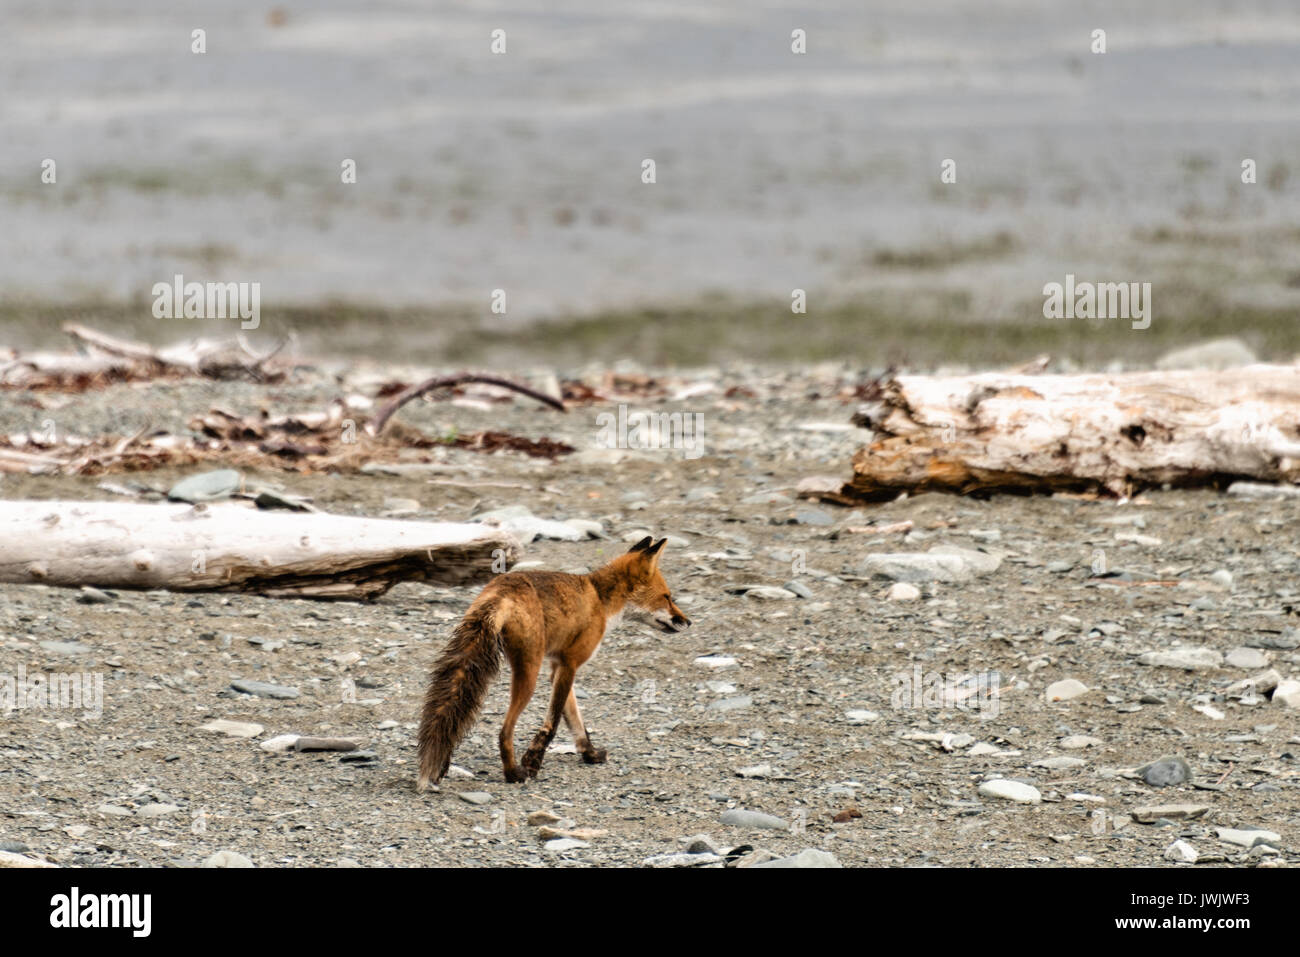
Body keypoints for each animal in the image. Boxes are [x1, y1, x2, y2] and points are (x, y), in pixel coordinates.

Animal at [416, 536, 691, 790]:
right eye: (667, 597)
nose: (688, 622)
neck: (600, 600)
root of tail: (500, 592)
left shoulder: (557, 666)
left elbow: (576, 721)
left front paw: (589, 753)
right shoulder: (571, 663)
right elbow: (555, 721)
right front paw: (533, 762)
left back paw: (444, 766)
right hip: (529, 672)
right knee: (504, 731)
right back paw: (514, 774)